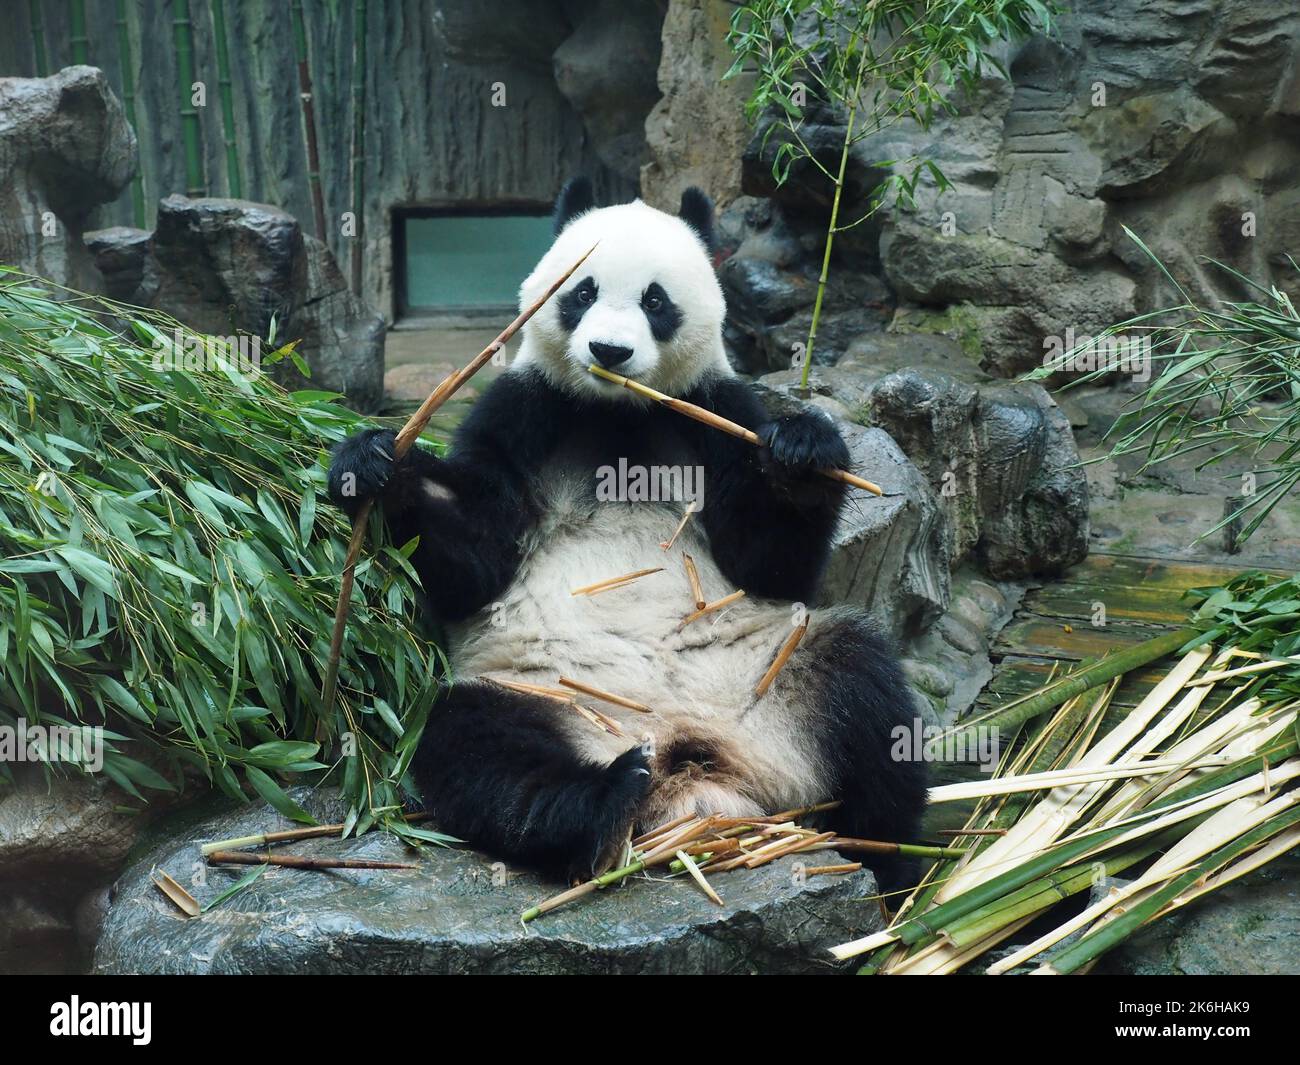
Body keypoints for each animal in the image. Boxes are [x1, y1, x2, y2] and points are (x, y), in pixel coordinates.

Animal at [328, 178, 926, 884]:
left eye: (655, 300)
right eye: (582, 292)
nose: (609, 352)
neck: (615, 412)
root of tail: (691, 759)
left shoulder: (714, 411)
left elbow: (769, 562)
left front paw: (803, 451)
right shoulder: (526, 410)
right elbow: (478, 558)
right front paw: (374, 465)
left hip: (774, 672)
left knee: (867, 706)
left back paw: (895, 873)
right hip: (540, 690)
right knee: (474, 747)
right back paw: (602, 796)